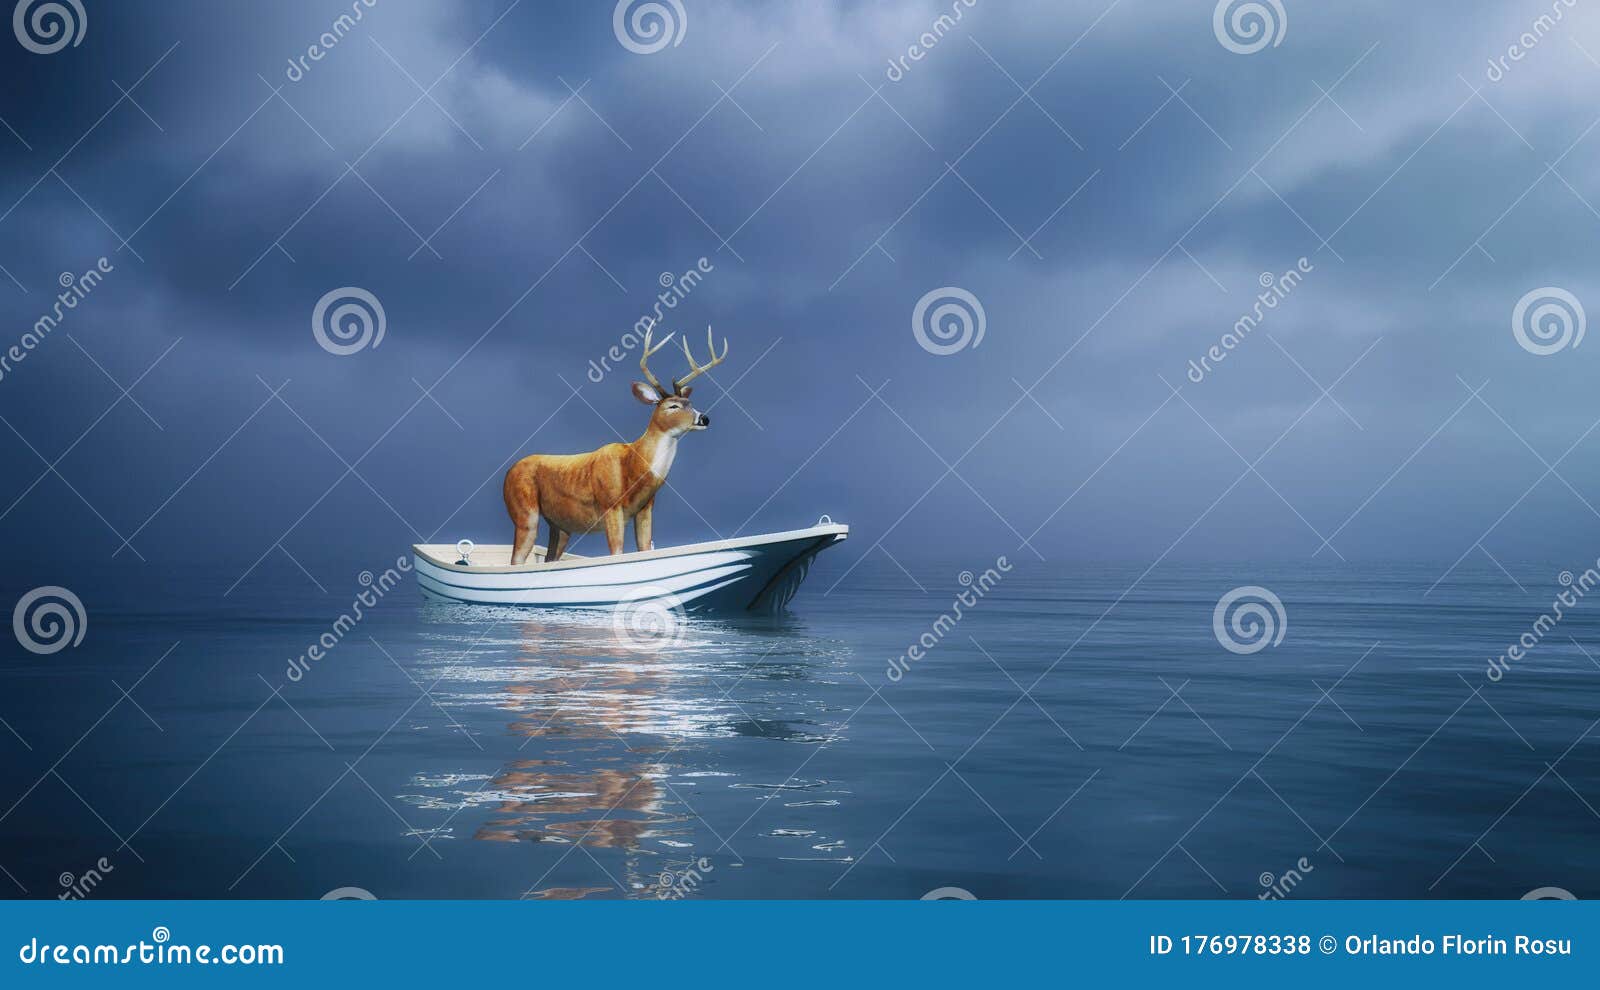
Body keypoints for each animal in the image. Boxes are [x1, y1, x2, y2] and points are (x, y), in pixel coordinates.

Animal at [502, 326, 729, 565]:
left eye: (690, 403)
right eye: (673, 406)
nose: (704, 418)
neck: (635, 464)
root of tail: (508, 471)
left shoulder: (646, 508)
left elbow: (644, 548)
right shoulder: (610, 505)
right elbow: (617, 552)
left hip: (560, 525)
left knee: (548, 558)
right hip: (524, 510)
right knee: (517, 558)